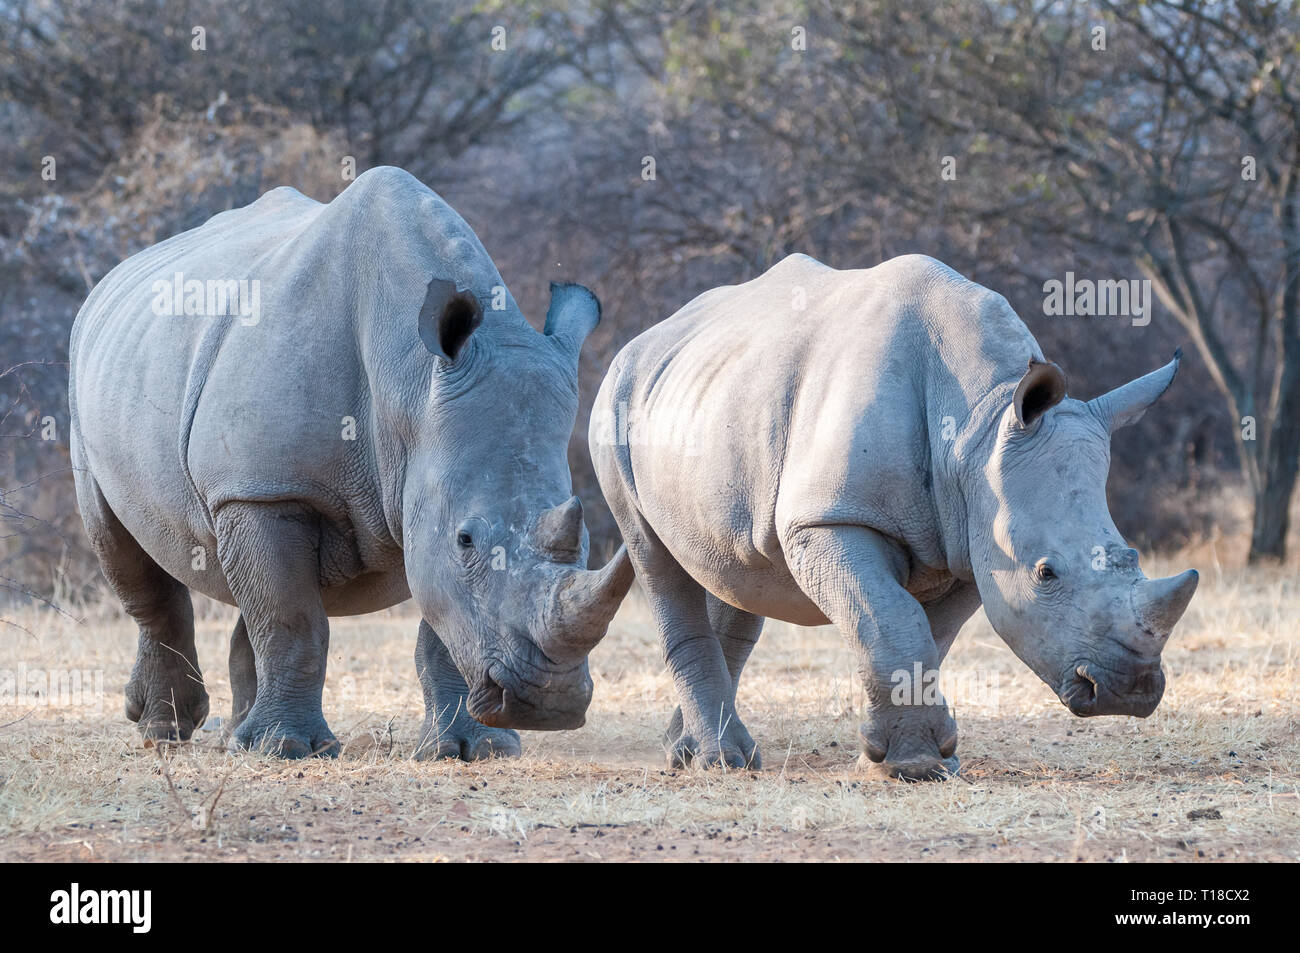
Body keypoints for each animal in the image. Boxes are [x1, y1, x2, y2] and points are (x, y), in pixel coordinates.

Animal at [70, 166, 632, 760]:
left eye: (587, 542)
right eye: (466, 540)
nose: (548, 703)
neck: (409, 383)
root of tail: (108, 282)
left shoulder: (414, 488)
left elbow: (437, 625)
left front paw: (470, 750)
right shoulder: (264, 488)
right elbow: (294, 620)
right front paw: (288, 749)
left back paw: (238, 738)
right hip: (99, 390)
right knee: (128, 552)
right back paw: (168, 734)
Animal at [590, 253, 1199, 779]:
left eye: (1133, 556)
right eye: (1045, 574)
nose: (1126, 691)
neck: (980, 424)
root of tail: (641, 340)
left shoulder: (971, 540)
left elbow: (925, 633)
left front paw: (913, 759)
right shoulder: (830, 521)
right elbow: (891, 619)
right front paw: (914, 765)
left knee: (737, 571)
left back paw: (686, 751)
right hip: (612, 403)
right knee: (653, 554)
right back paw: (723, 762)